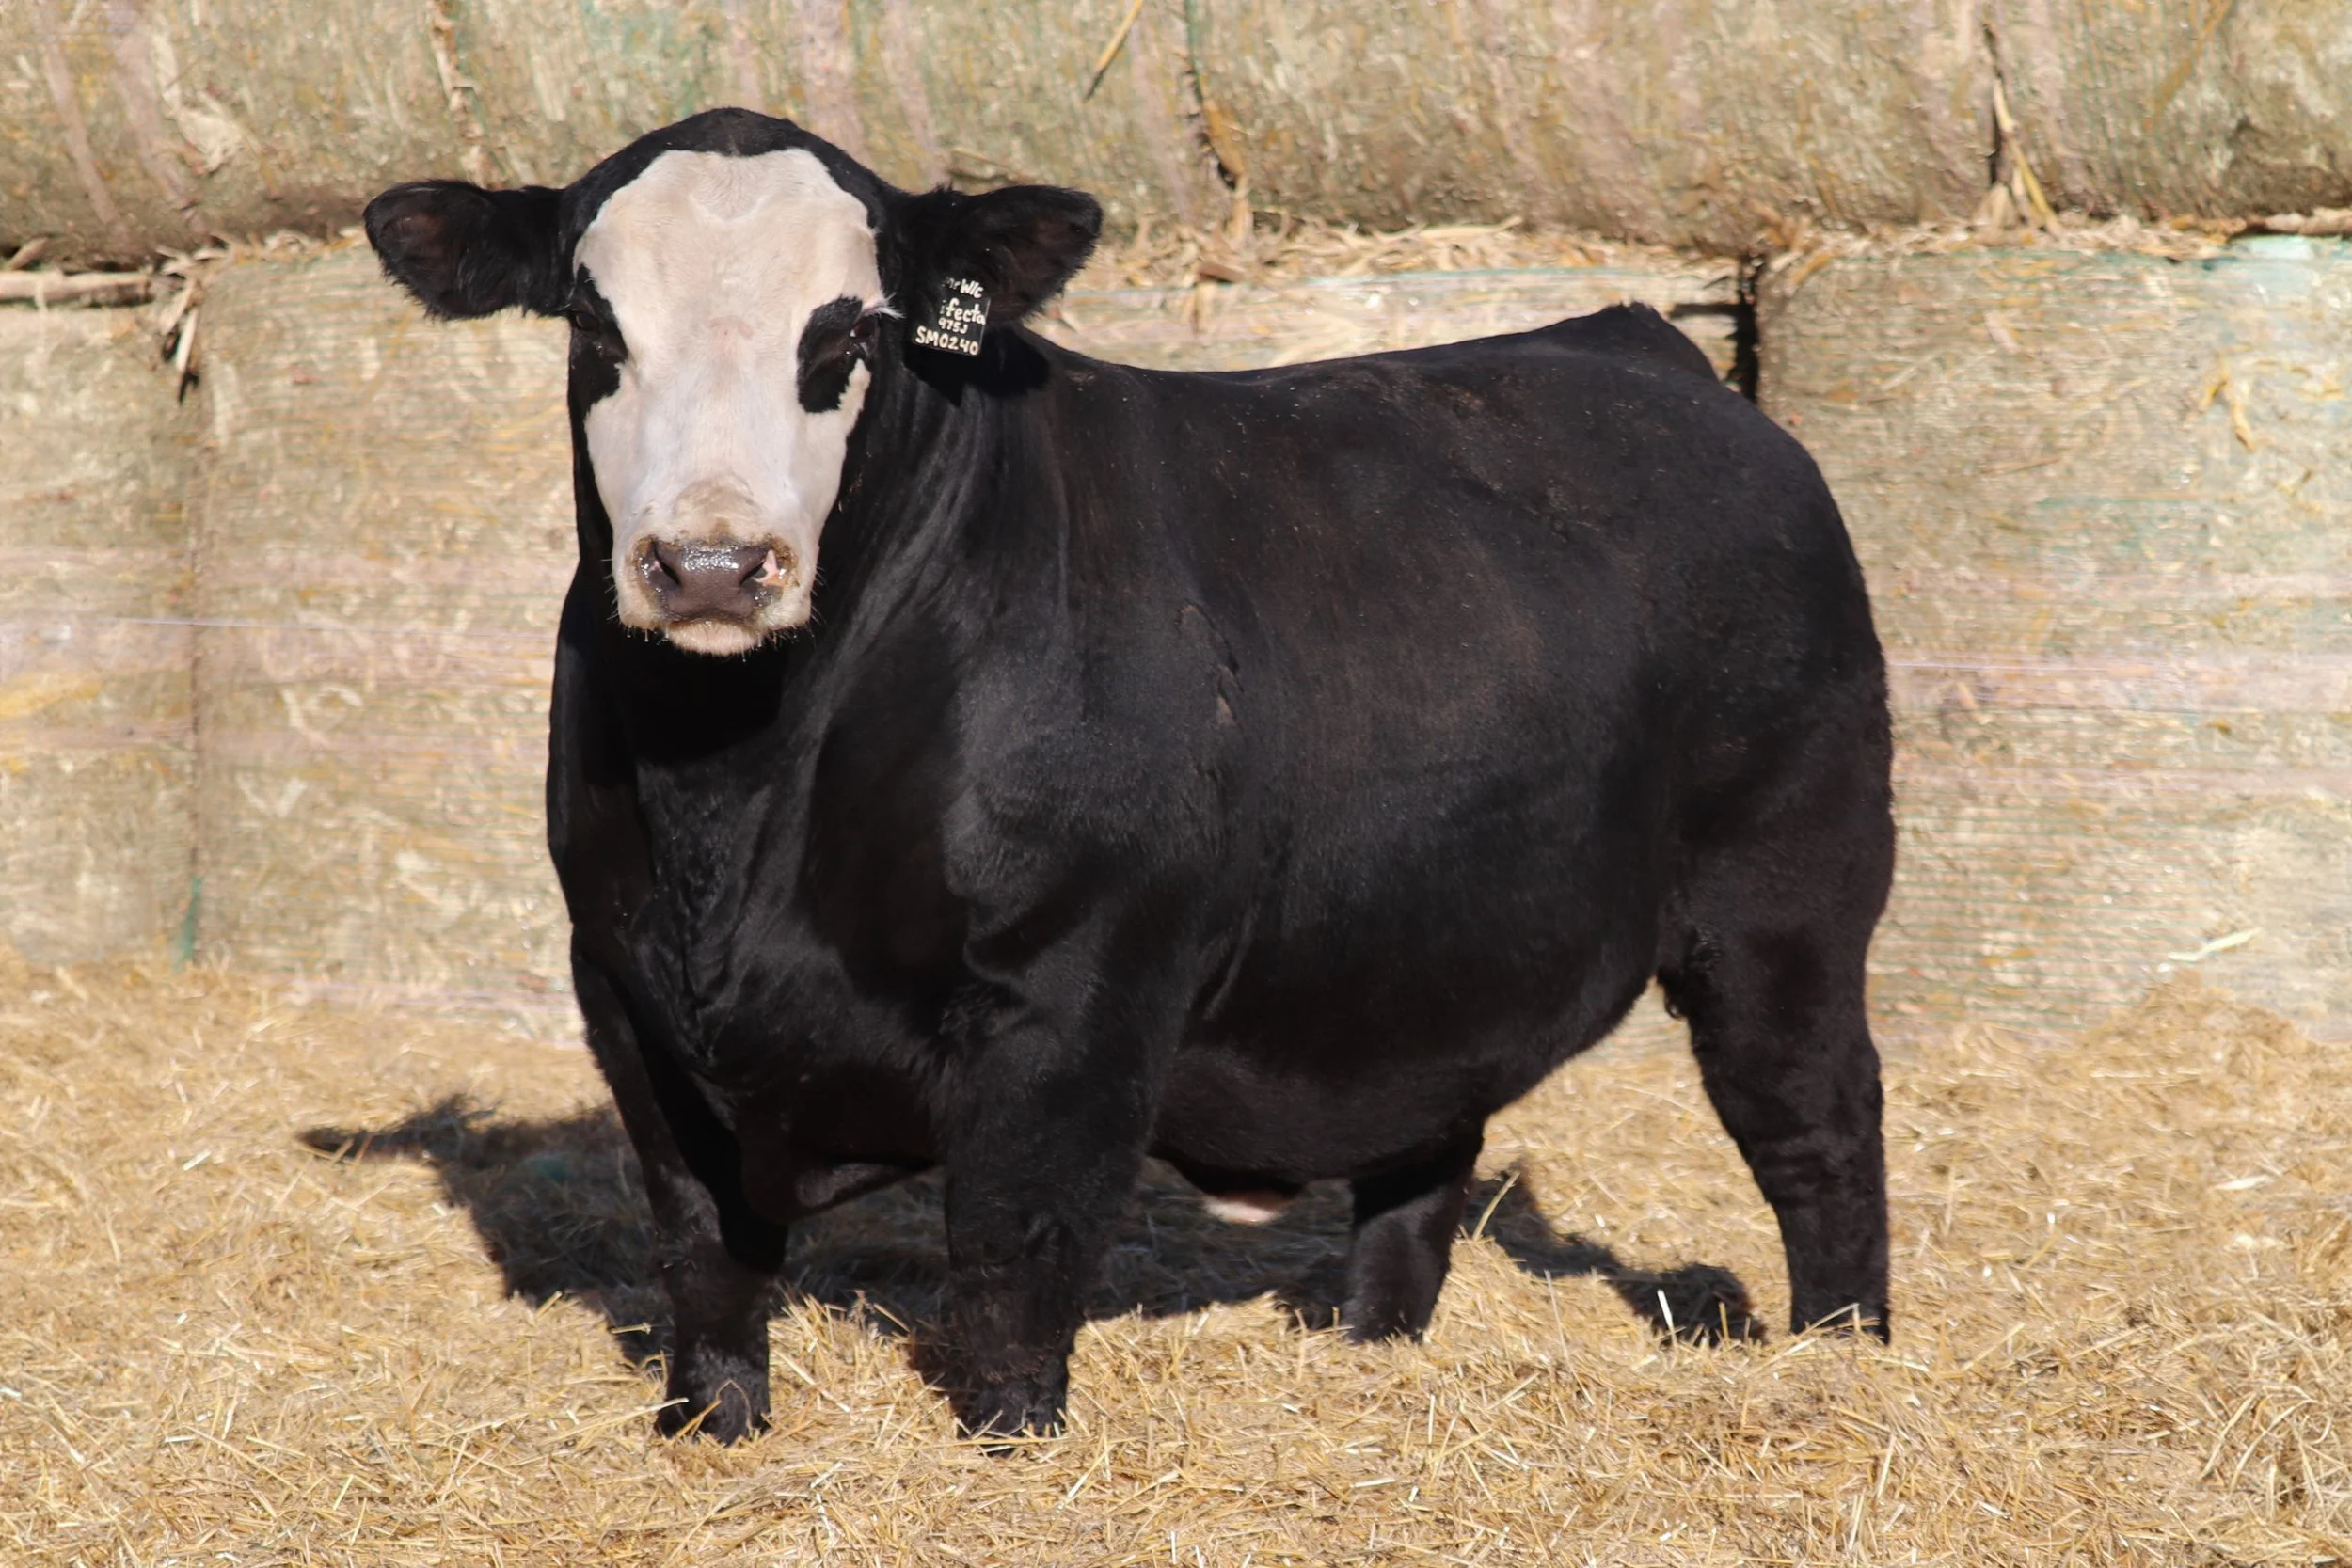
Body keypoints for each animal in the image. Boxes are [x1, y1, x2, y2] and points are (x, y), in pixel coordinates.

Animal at [362, 108, 1893, 1445]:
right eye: (594, 323)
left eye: (850, 330)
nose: (712, 564)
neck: (730, 793)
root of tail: (1646, 347)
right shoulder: (625, 985)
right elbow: (702, 1242)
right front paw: (712, 1421)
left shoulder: (1074, 986)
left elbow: (1015, 1250)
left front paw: (1008, 1440)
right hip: (1420, 942)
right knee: (1422, 1154)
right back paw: (1371, 1348)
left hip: (1785, 904)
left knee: (1815, 1121)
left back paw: (1843, 1358)